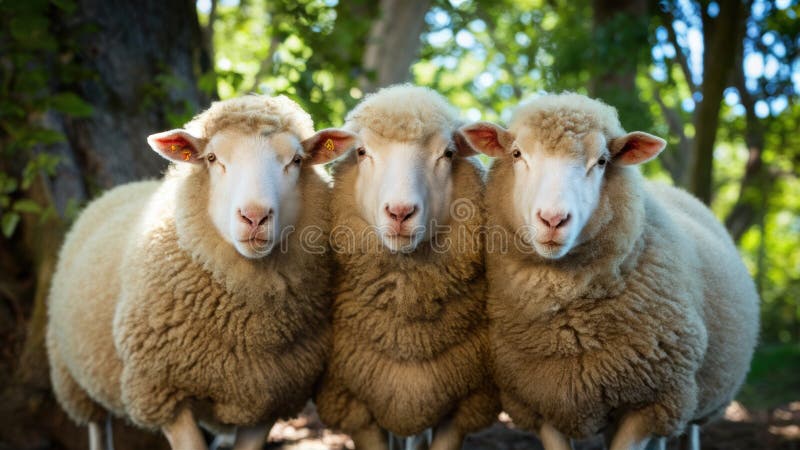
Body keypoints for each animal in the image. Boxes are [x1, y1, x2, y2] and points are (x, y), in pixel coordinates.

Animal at [45, 94, 357, 450]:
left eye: (296, 160)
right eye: (212, 158)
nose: (254, 216)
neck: (245, 326)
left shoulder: (267, 399)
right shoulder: (164, 393)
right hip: (75, 379)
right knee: (98, 425)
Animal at [458, 92, 760, 450]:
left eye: (601, 161)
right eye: (517, 154)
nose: (553, 220)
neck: (569, 329)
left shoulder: (651, 403)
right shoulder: (543, 403)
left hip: (690, 401)